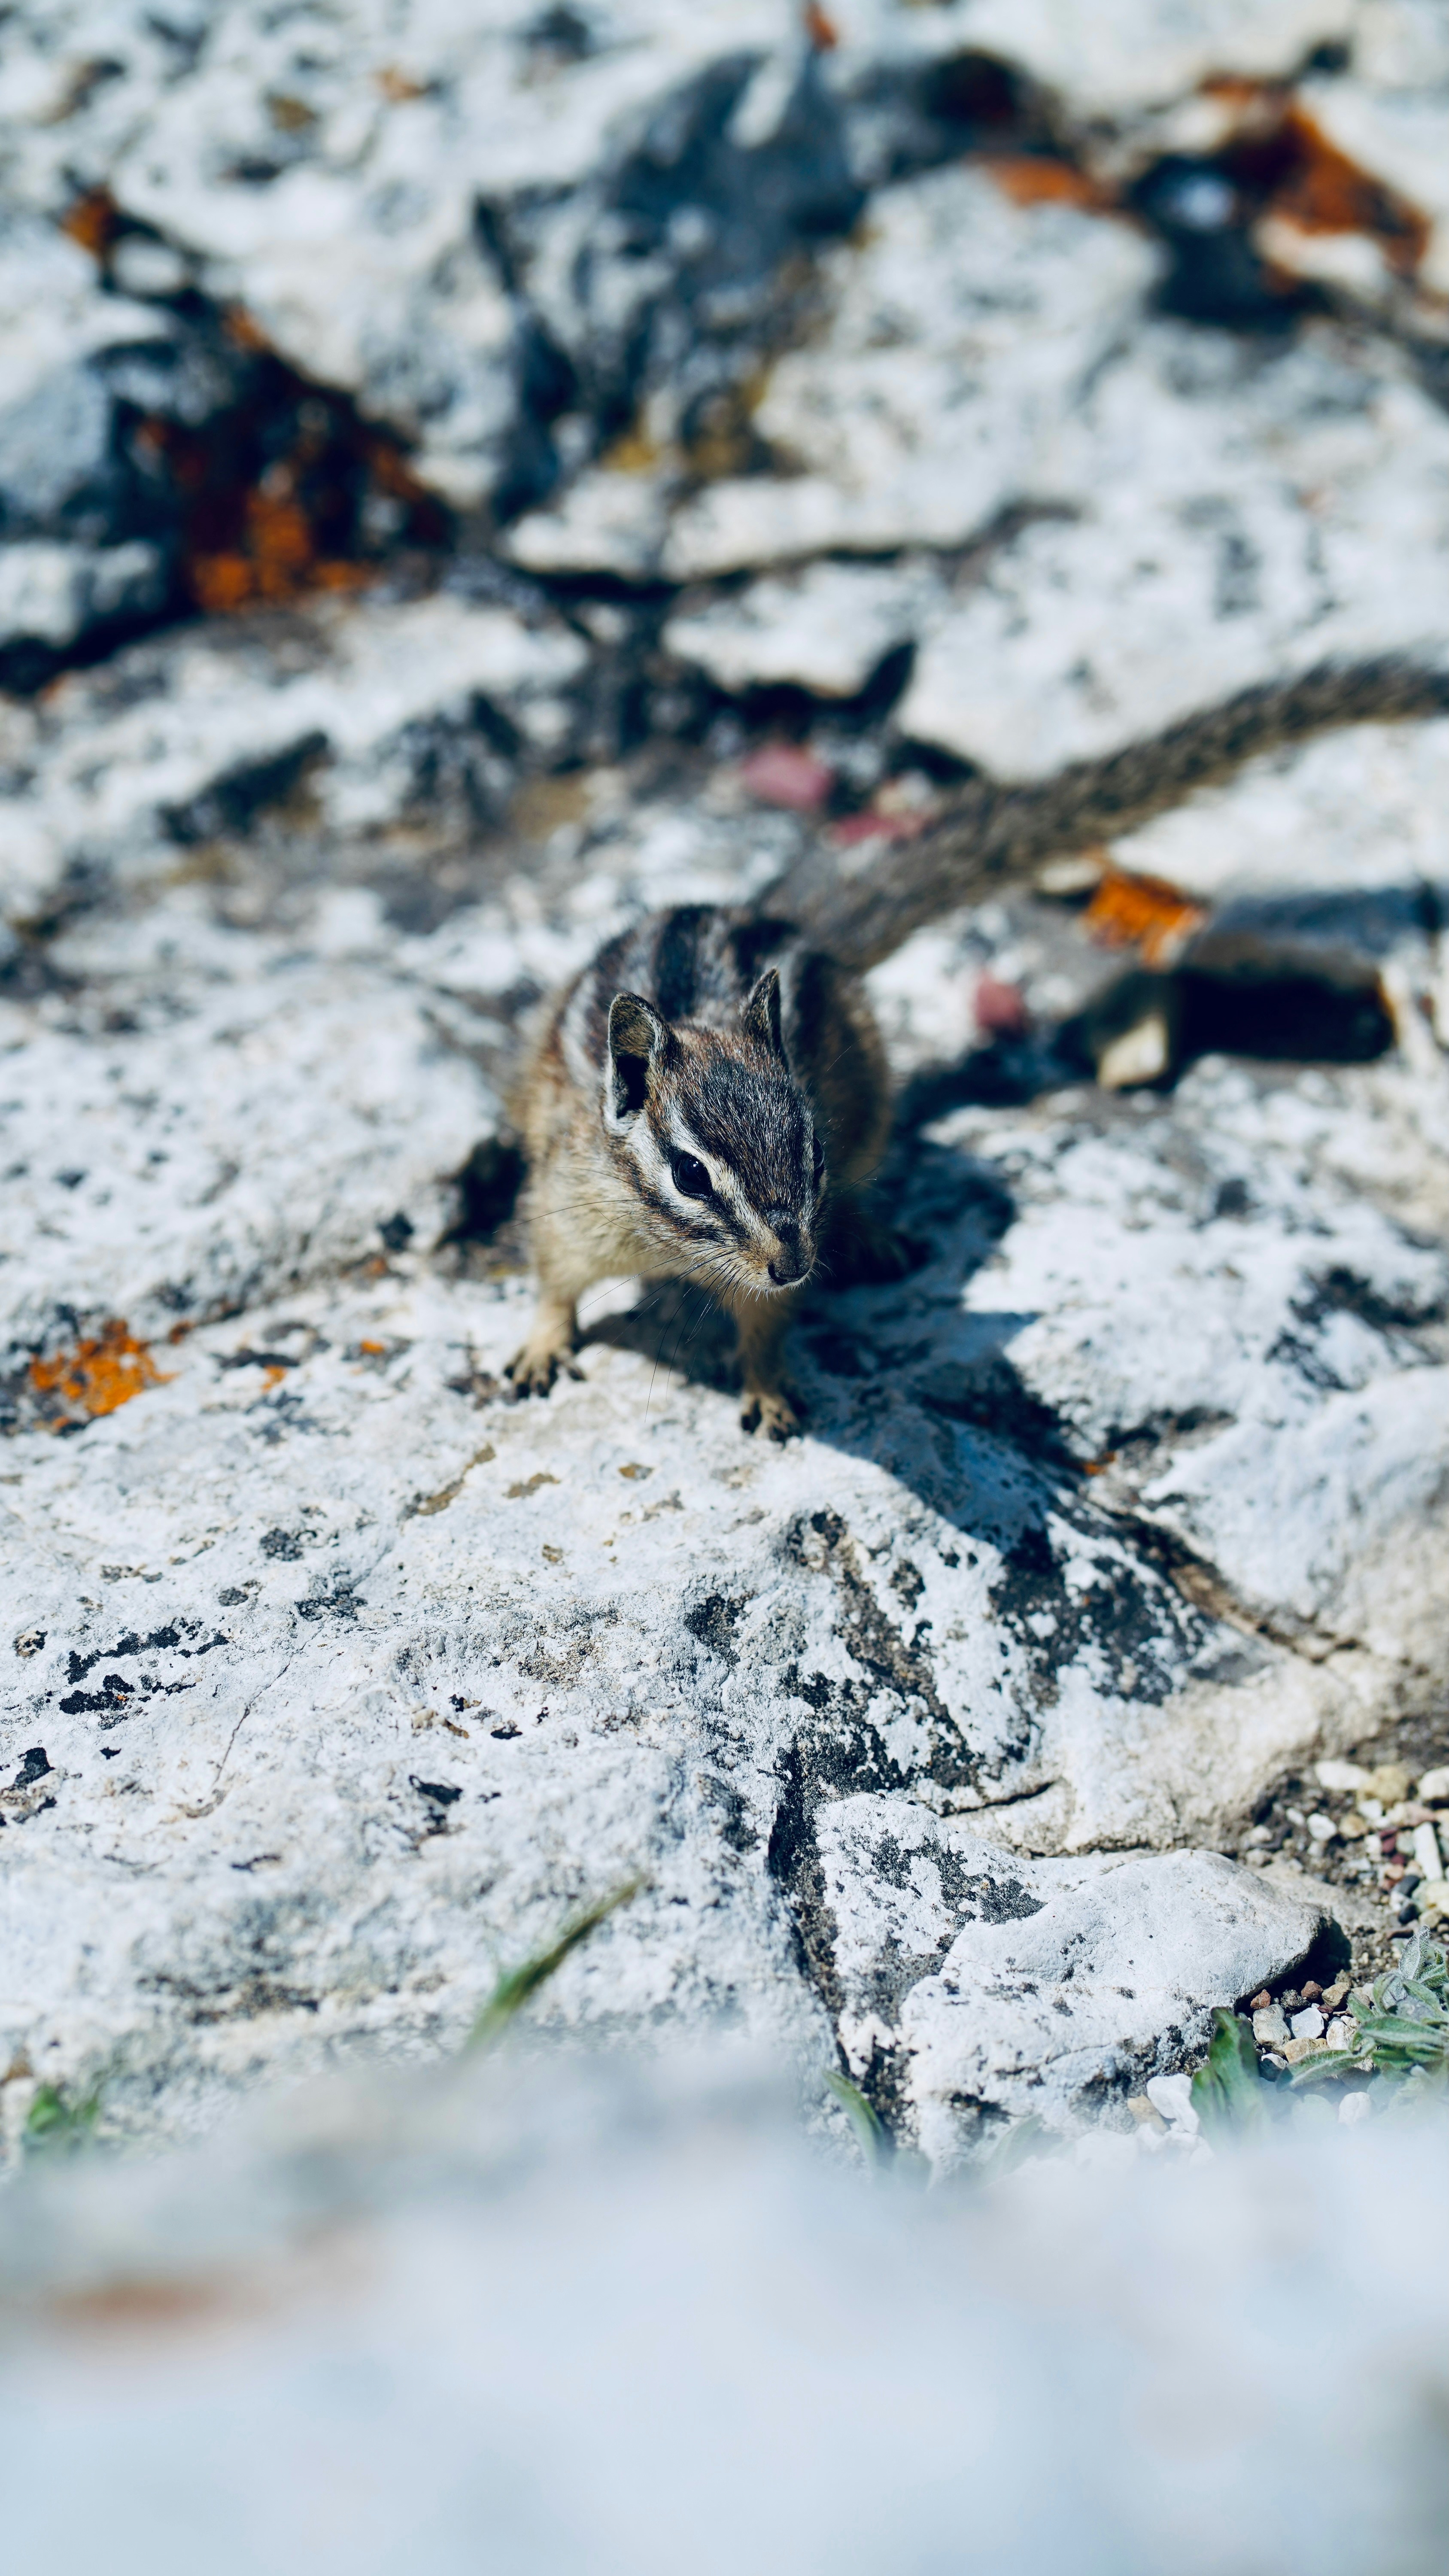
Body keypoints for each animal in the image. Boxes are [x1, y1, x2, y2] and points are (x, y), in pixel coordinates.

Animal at [505, 658, 1448, 1439]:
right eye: (691, 1175)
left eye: (811, 1156)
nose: (794, 1262)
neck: (672, 1250)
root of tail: (792, 923)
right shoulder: (564, 1202)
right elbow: (552, 1279)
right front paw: (540, 1347)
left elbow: (768, 1331)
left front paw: (769, 1388)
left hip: (871, 1101)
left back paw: (874, 1232)